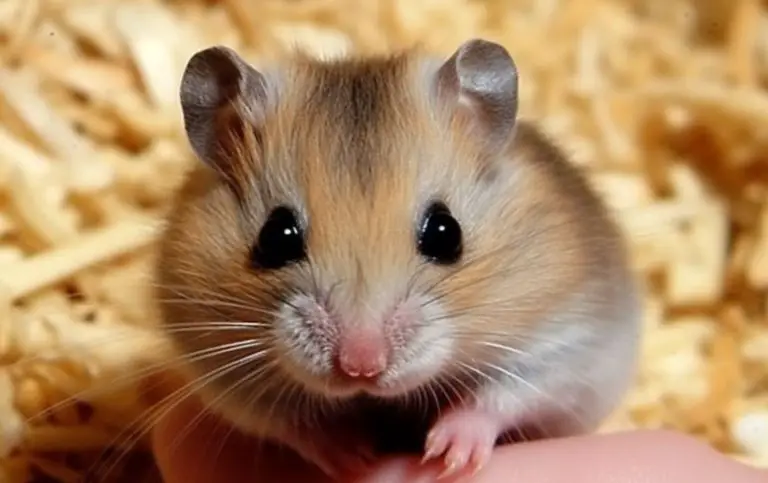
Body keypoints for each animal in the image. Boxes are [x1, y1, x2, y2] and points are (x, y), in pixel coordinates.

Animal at [154, 38, 642, 480]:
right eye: (276, 236)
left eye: (446, 232)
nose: (361, 368)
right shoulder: (225, 373)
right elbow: (295, 420)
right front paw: (355, 456)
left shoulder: (569, 339)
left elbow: (501, 396)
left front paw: (445, 456)